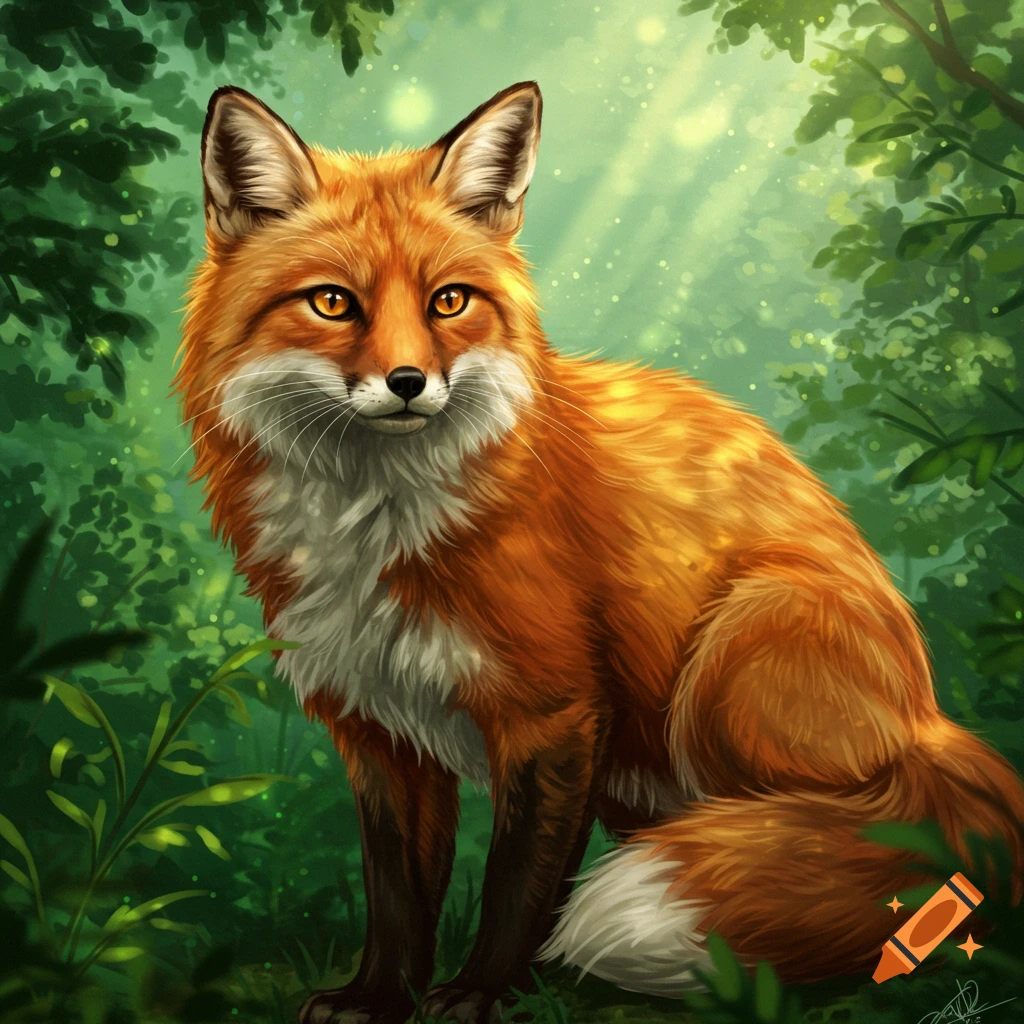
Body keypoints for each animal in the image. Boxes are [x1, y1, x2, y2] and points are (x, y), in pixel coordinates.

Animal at [175, 80, 1024, 1024]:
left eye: (448, 302)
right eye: (332, 303)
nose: (407, 383)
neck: (378, 527)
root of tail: (930, 719)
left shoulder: (555, 714)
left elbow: (519, 882)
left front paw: (482, 993)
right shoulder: (380, 727)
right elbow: (398, 893)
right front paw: (380, 996)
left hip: (733, 655)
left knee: (834, 845)